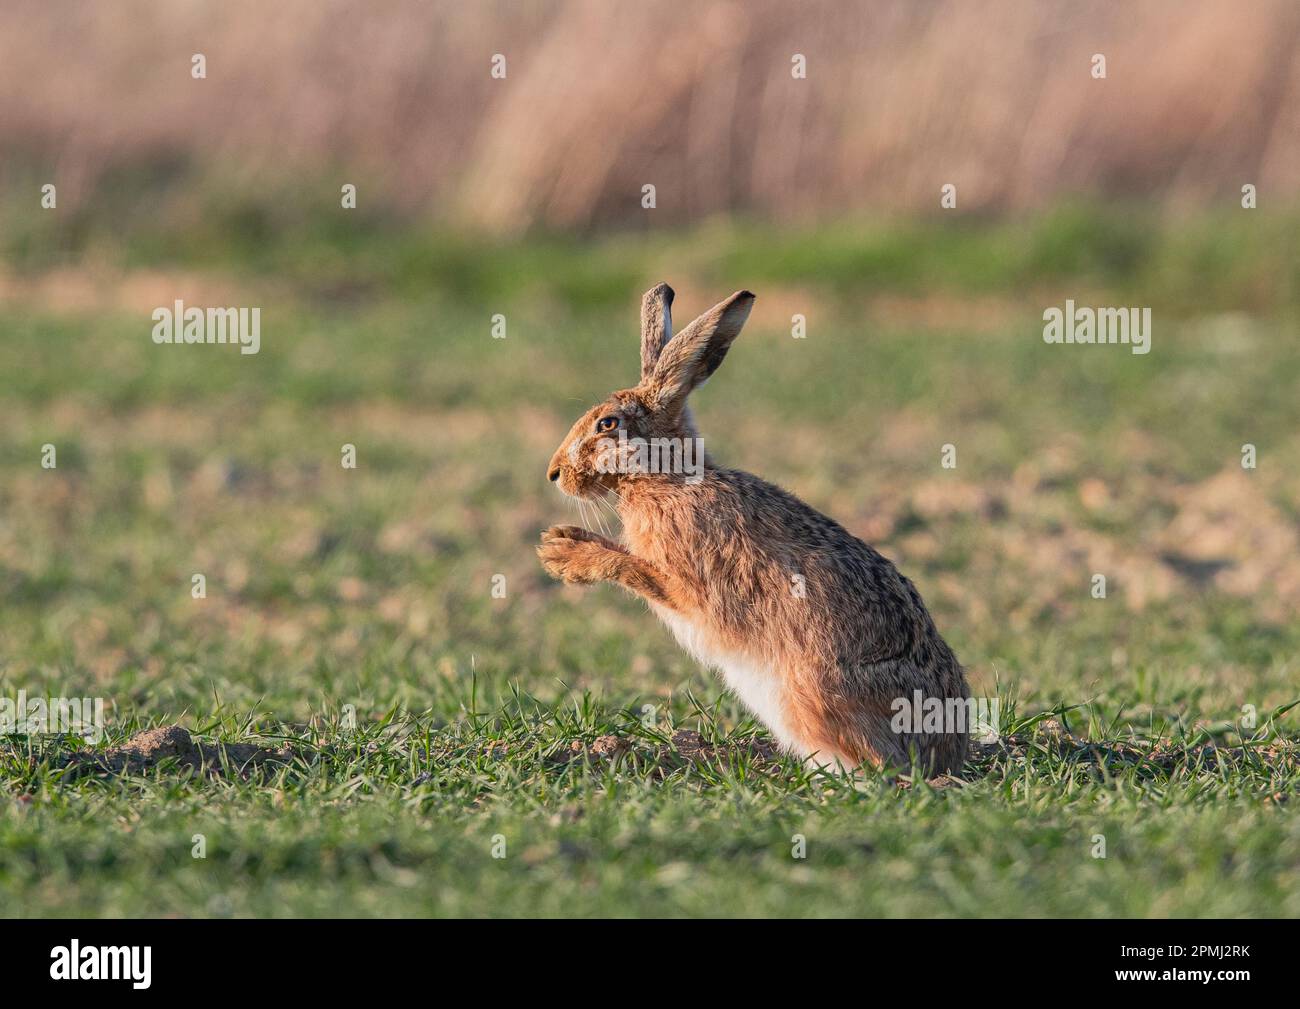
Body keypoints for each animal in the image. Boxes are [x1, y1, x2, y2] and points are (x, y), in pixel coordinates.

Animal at [538, 283, 970, 776]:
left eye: (607, 424)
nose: (554, 474)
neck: (666, 479)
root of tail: (949, 749)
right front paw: (560, 541)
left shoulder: (689, 585)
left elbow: (632, 567)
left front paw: (563, 556)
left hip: (810, 694)